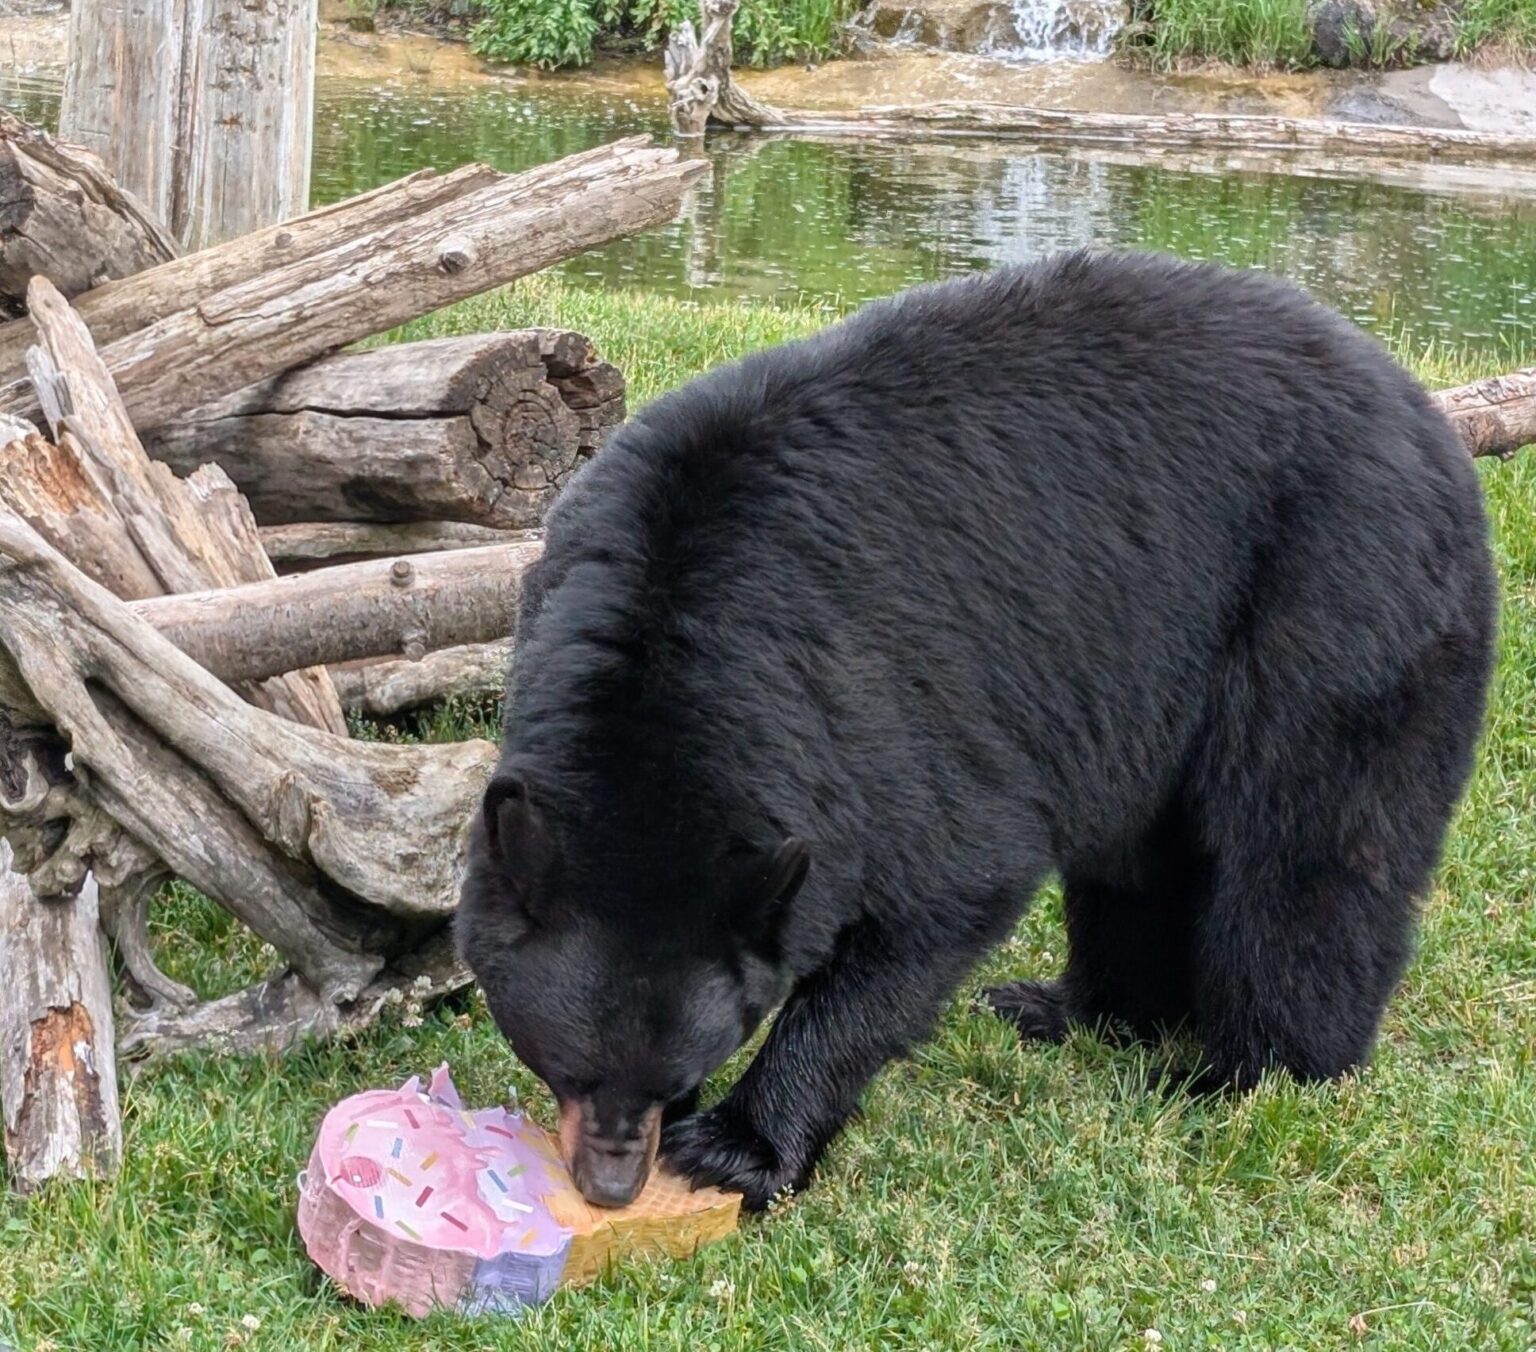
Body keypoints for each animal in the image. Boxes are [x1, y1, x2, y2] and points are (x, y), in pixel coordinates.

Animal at [455, 250, 1497, 1213]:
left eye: (674, 1074)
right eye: (567, 1067)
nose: (609, 1186)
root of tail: (1426, 417)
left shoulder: (875, 699)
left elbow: (949, 888)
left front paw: (744, 1145)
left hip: (1335, 600)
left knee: (1305, 852)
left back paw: (1246, 1073)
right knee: (1141, 858)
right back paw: (1078, 1010)